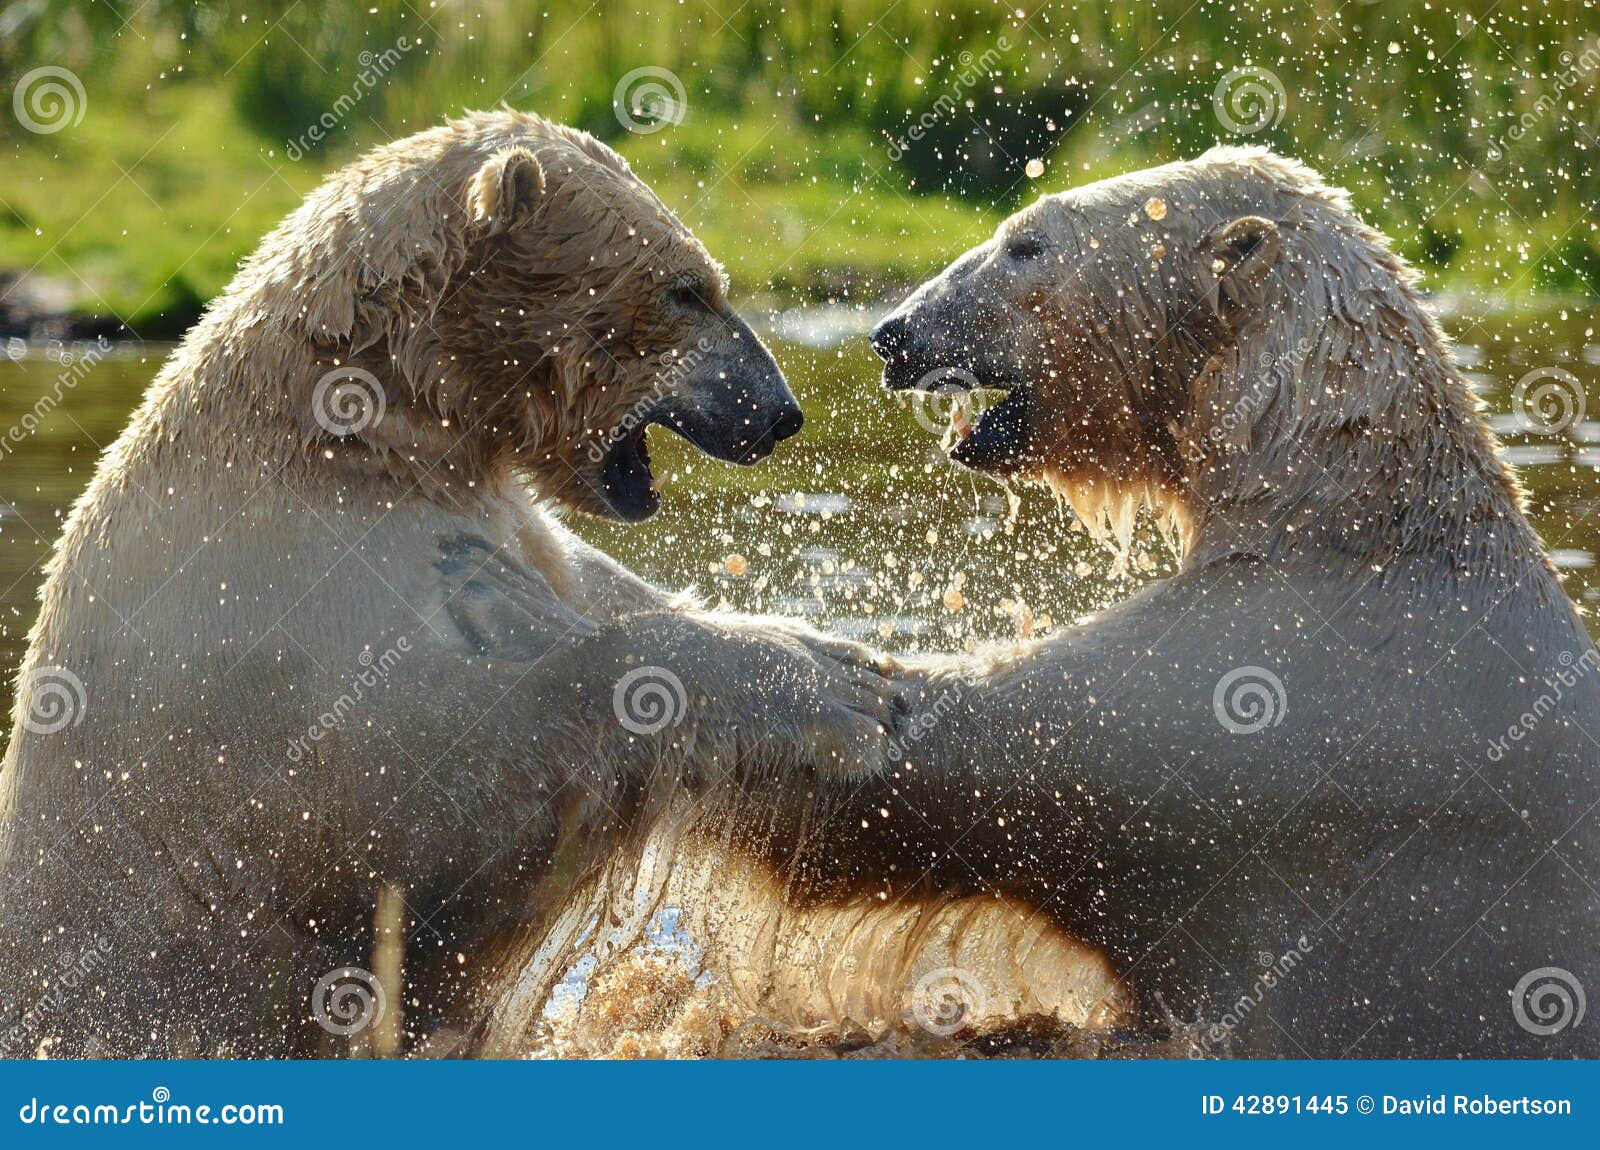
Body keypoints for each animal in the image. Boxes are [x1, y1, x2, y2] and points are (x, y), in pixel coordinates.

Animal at [0, 110, 906, 1058]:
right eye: (688, 291)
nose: (781, 413)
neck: (348, 433)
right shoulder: (280, 606)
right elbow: (425, 790)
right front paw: (838, 690)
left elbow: (586, 583)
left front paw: (818, 641)